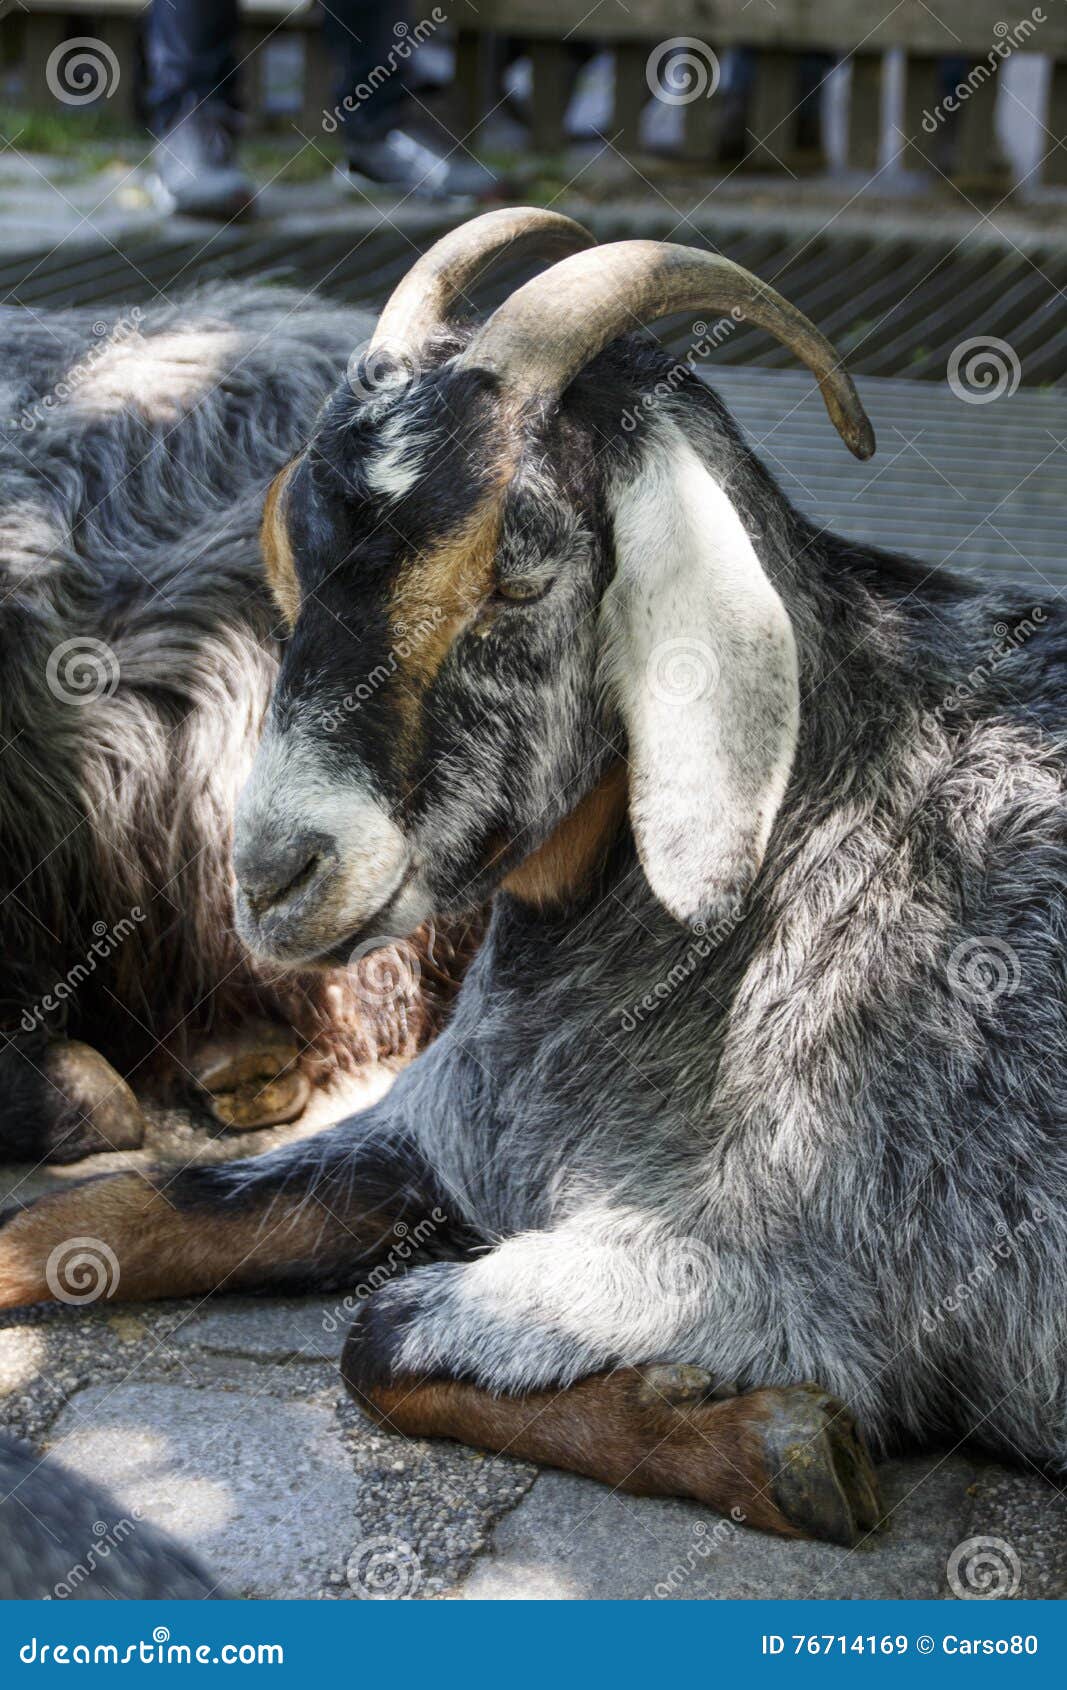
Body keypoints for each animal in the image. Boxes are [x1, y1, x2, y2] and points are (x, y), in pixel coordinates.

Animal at [2, 209, 1065, 1547]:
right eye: (295, 558)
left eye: (518, 575)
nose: (276, 871)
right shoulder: (437, 1131)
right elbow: (90, 1213)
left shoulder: (803, 1269)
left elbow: (379, 1337)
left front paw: (772, 1442)